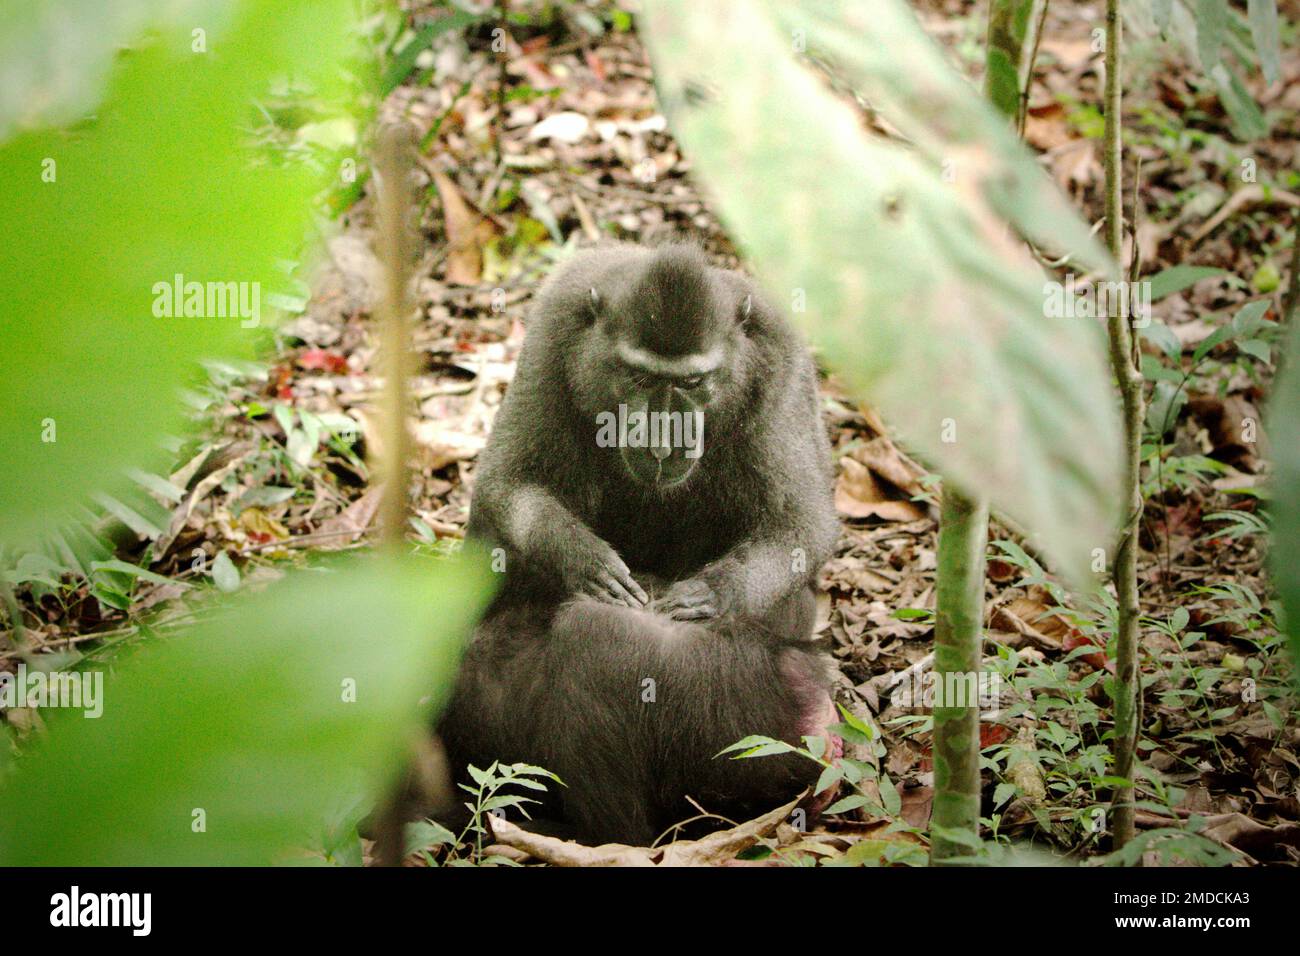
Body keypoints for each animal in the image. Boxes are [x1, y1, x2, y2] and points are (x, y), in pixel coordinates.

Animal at [436, 241, 842, 846]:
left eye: (694, 383)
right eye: (637, 376)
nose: (662, 438)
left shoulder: (782, 358)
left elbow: (803, 523)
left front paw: (713, 595)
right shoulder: (553, 327)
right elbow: (504, 483)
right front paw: (583, 561)